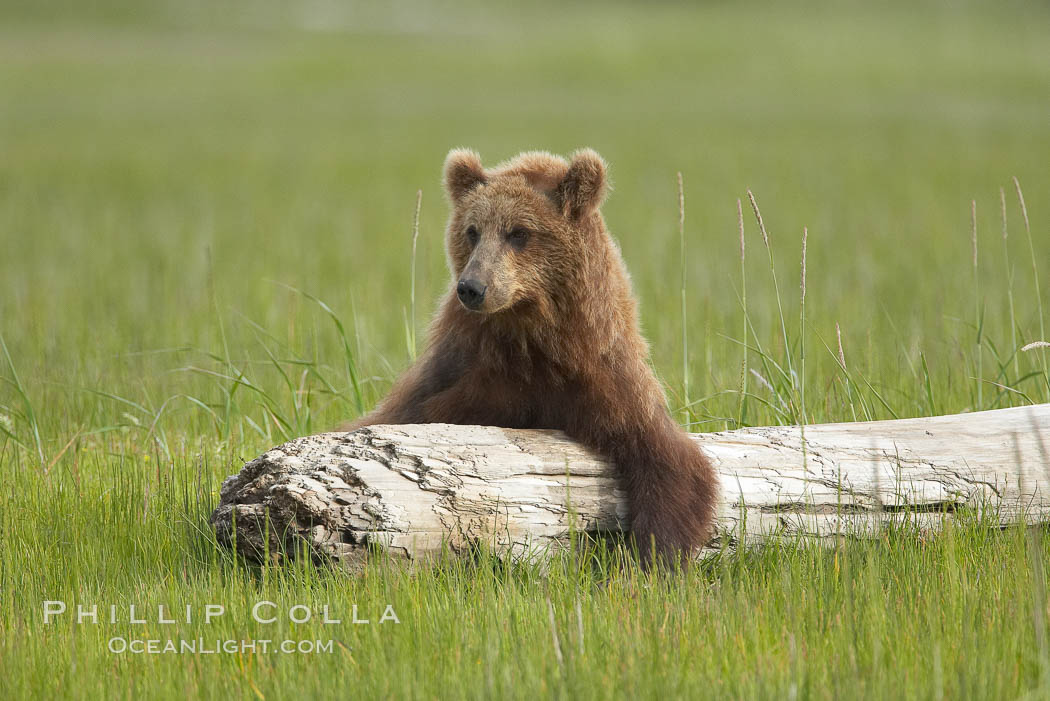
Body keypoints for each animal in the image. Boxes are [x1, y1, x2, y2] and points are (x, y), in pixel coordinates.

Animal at [348, 151, 718, 566]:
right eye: (473, 231)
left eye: (519, 232)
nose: (472, 287)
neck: (533, 338)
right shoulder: (460, 372)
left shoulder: (603, 381)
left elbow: (672, 464)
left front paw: (650, 558)